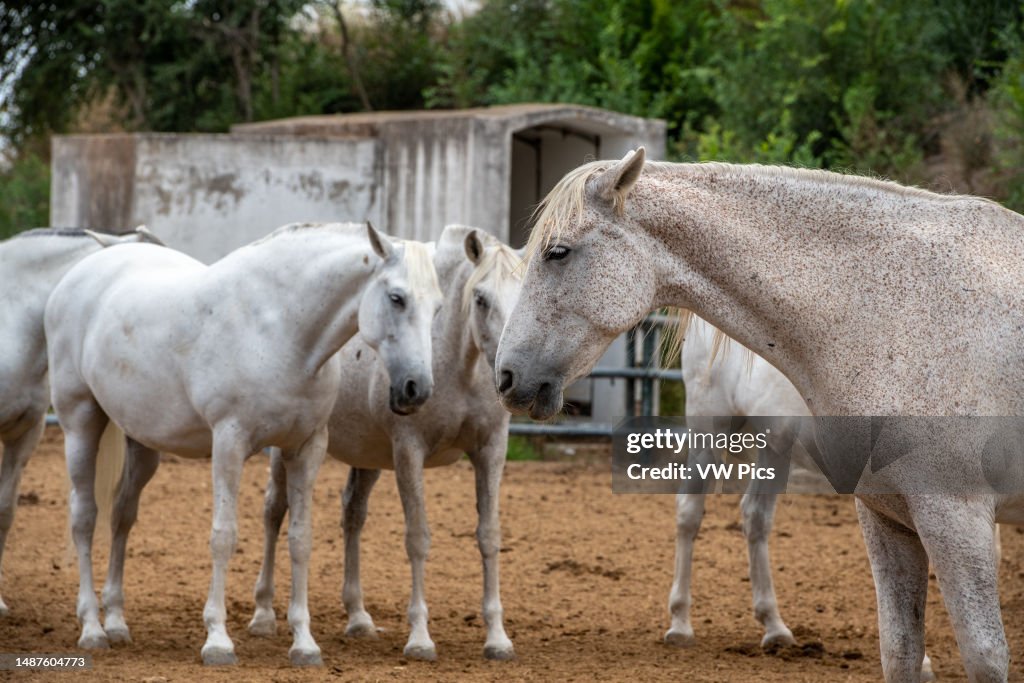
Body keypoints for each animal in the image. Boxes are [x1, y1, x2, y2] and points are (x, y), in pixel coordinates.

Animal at [45, 222, 442, 666]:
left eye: (438, 307)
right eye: (397, 297)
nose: (417, 389)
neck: (279, 328)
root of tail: (85, 269)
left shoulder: (306, 448)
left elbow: (300, 540)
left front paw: (304, 643)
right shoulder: (229, 442)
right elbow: (224, 536)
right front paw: (218, 640)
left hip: (142, 443)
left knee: (121, 517)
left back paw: (115, 621)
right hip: (79, 422)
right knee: (84, 518)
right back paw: (92, 628)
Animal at [248, 225, 522, 662]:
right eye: (480, 298)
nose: (509, 373)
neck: (455, 365)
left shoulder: (491, 450)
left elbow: (489, 536)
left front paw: (497, 638)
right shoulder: (409, 451)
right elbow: (418, 538)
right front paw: (420, 638)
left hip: (367, 457)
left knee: (352, 515)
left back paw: (358, 617)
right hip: (284, 447)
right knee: (274, 510)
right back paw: (263, 614)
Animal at [495, 148, 1024, 682]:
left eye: (557, 252)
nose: (506, 376)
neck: (891, 312)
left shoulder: (918, 515)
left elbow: (915, 650)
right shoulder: (939, 514)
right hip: (720, 429)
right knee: (700, 513)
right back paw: (689, 623)